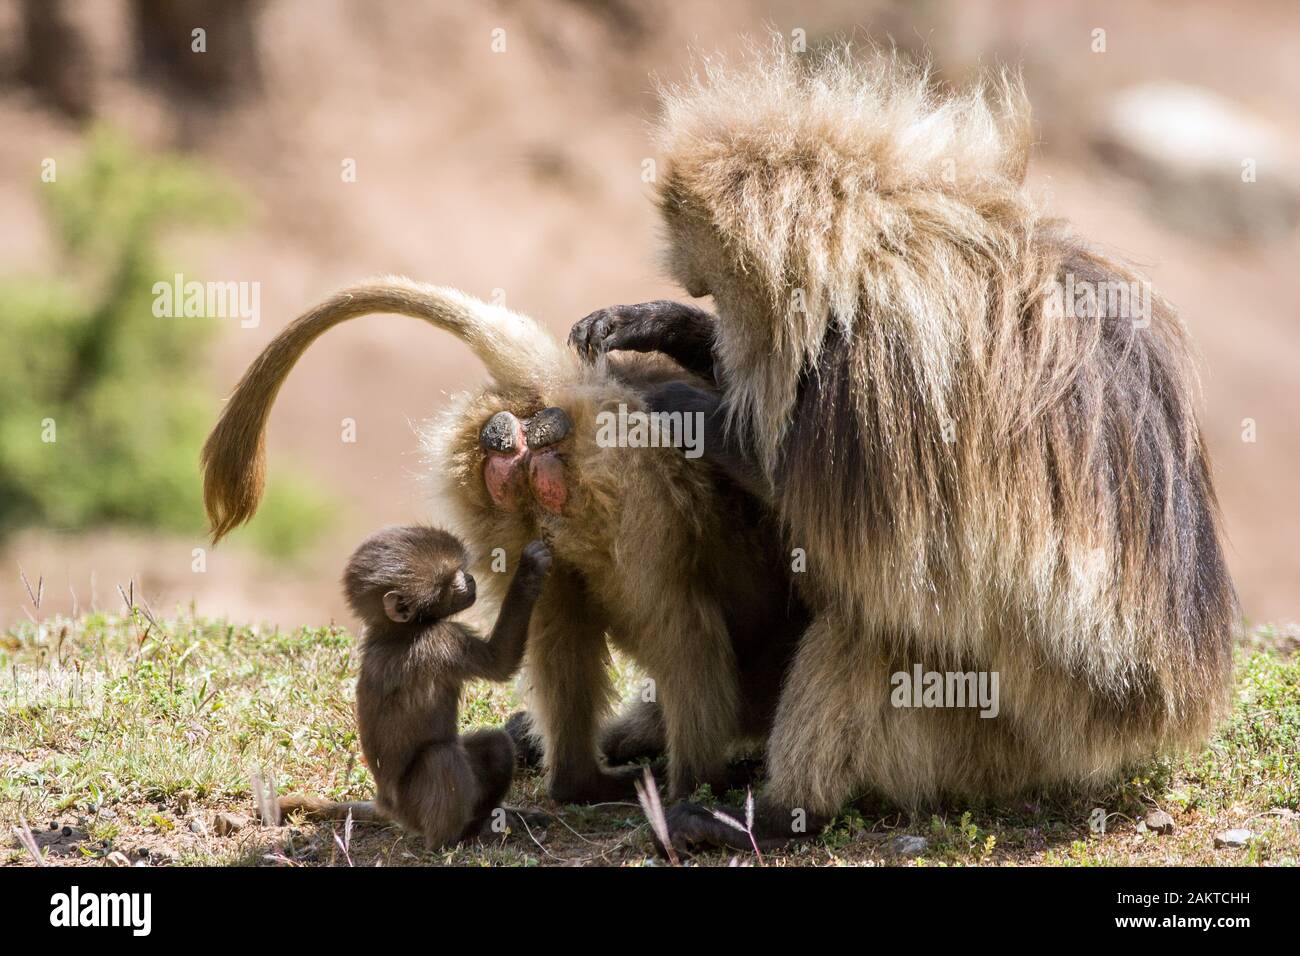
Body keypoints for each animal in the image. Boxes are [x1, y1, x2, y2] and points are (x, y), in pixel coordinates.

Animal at [201, 277, 806, 808]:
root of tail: (574, 389)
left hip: (522, 503)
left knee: (561, 614)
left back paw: (581, 783)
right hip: (635, 488)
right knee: (683, 625)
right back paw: (698, 788)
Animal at [276, 527, 552, 848]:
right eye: (451, 580)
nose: (470, 580)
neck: (397, 632)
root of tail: (386, 805)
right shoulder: (441, 641)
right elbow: (500, 662)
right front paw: (529, 568)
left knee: (494, 745)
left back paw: (487, 820)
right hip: (414, 807)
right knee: (440, 758)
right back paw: (452, 839)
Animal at [568, 42, 1239, 852]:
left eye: (721, 287)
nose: (719, 327)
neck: (888, 241)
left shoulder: (882, 362)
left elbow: (845, 517)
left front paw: (667, 398)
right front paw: (655, 327)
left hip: (1002, 731)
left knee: (878, 612)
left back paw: (768, 814)